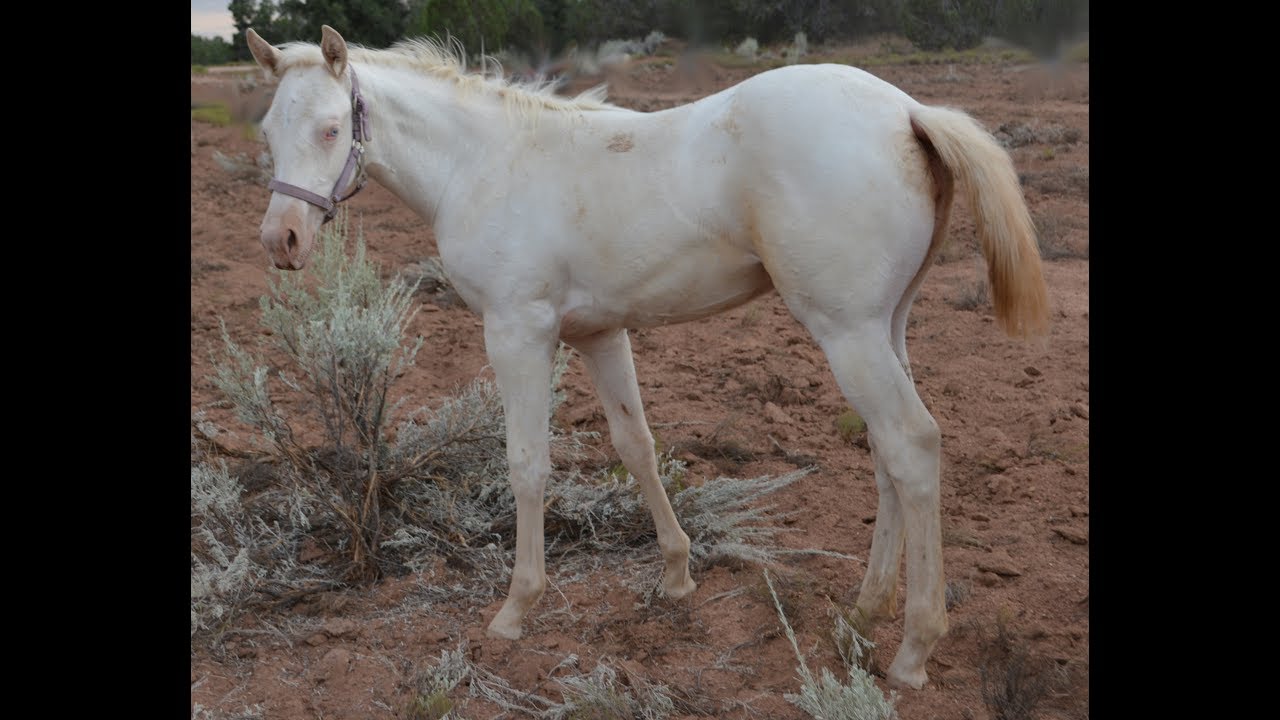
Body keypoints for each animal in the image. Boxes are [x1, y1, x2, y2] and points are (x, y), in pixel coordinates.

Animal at [244, 26, 1048, 690]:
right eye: (268, 130)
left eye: (330, 128)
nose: (281, 241)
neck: (486, 163)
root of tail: (908, 110)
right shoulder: (601, 335)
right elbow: (636, 445)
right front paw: (676, 573)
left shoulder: (517, 332)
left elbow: (528, 465)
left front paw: (516, 609)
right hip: (886, 327)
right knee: (888, 452)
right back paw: (865, 610)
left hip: (846, 330)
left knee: (912, 444)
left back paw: (913, 649)